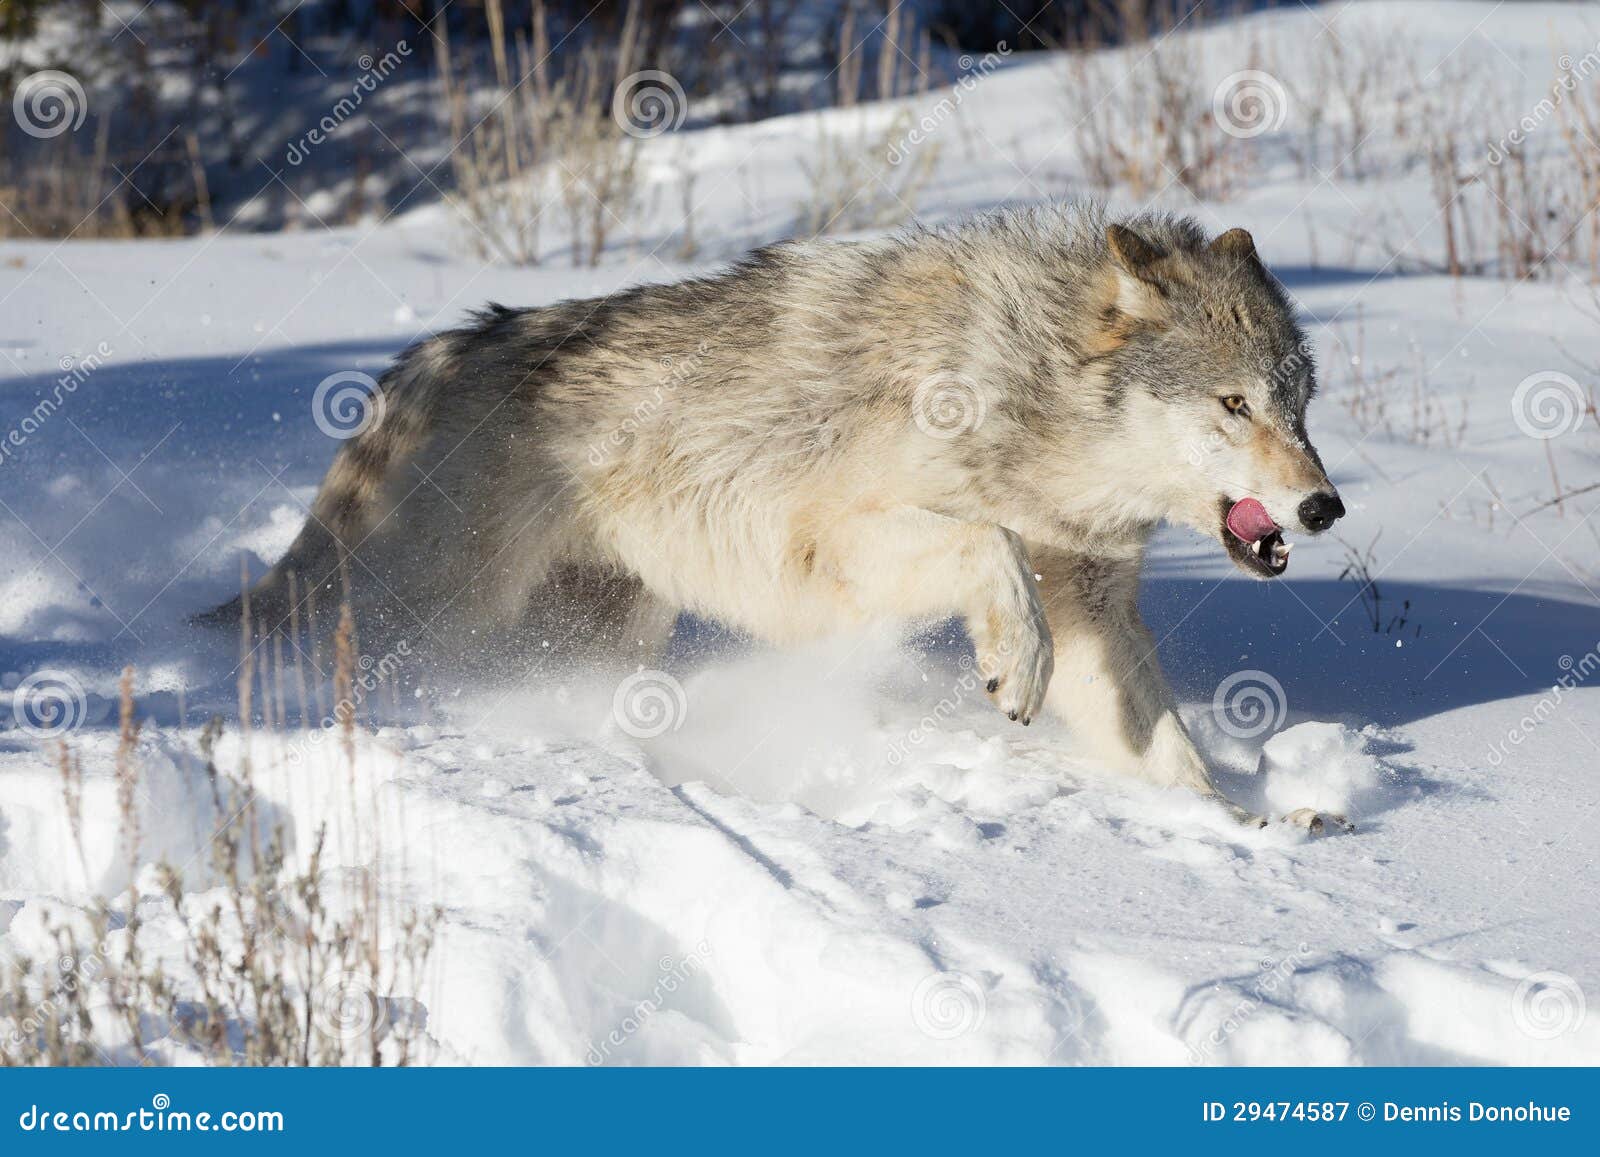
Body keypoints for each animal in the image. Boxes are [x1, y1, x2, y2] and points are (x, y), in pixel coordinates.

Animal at [208, 203, 1345, 827]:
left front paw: (1242, 827)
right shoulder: (838, 548)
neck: (1026, 396)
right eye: (1232, 404)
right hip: (434, 604)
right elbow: (992, 550)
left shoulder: (1094, 604)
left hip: (606, 627)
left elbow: (1167, 748)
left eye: (1297, 401)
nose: (1324, 506)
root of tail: (421, 361)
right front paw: (1015, 666)